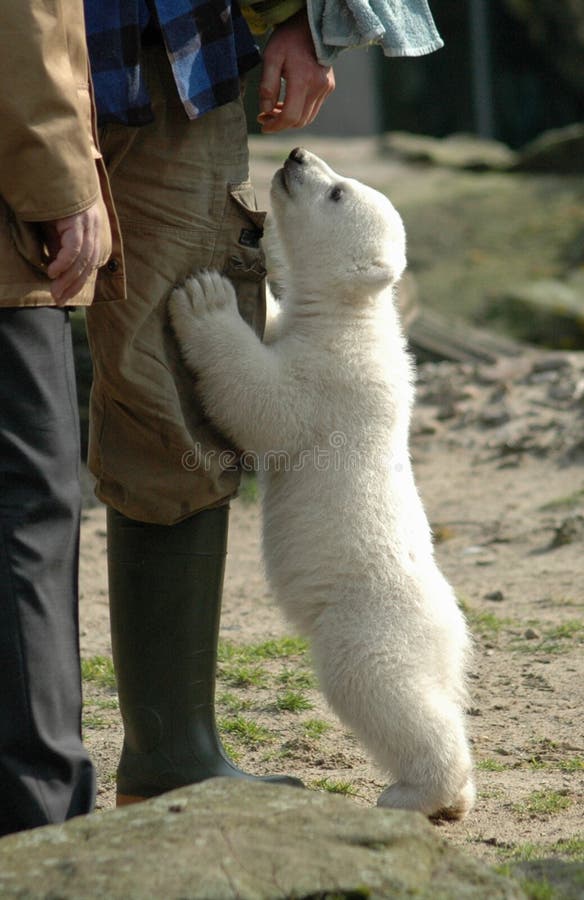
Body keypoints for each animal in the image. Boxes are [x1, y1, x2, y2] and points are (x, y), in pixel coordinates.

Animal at [169, 148, 475, 819]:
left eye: (337, 193)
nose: (296, 154)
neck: (354, 314)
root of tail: (448, 624)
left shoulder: (334, 377)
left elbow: (264, 404)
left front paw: (205, 299)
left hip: (365, 624)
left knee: (377, 690)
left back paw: (417, 793)